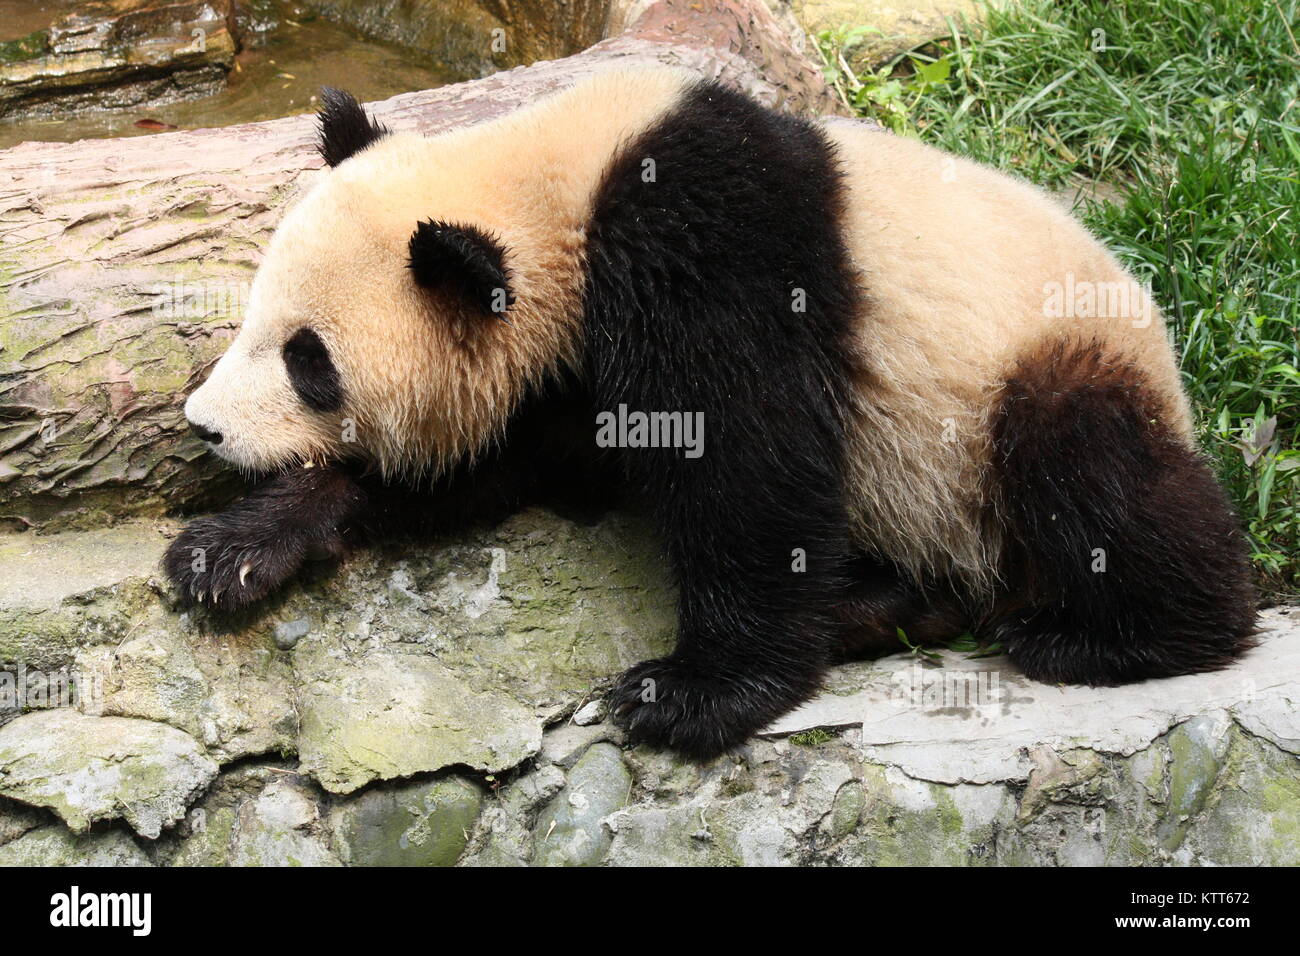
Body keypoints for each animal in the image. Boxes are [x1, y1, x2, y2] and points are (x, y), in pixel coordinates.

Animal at [167, 67, 1257, 760]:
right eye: (256, 314)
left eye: (309, 361)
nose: (206, 425)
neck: (552, 184)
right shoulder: (564, 366)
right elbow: (502, 463)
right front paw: (234, 546)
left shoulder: (708, 245)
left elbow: (747, 461)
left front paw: (686, 694)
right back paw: (881, 605)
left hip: (1026, 380)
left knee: (1086, 469)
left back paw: (1114, 636)